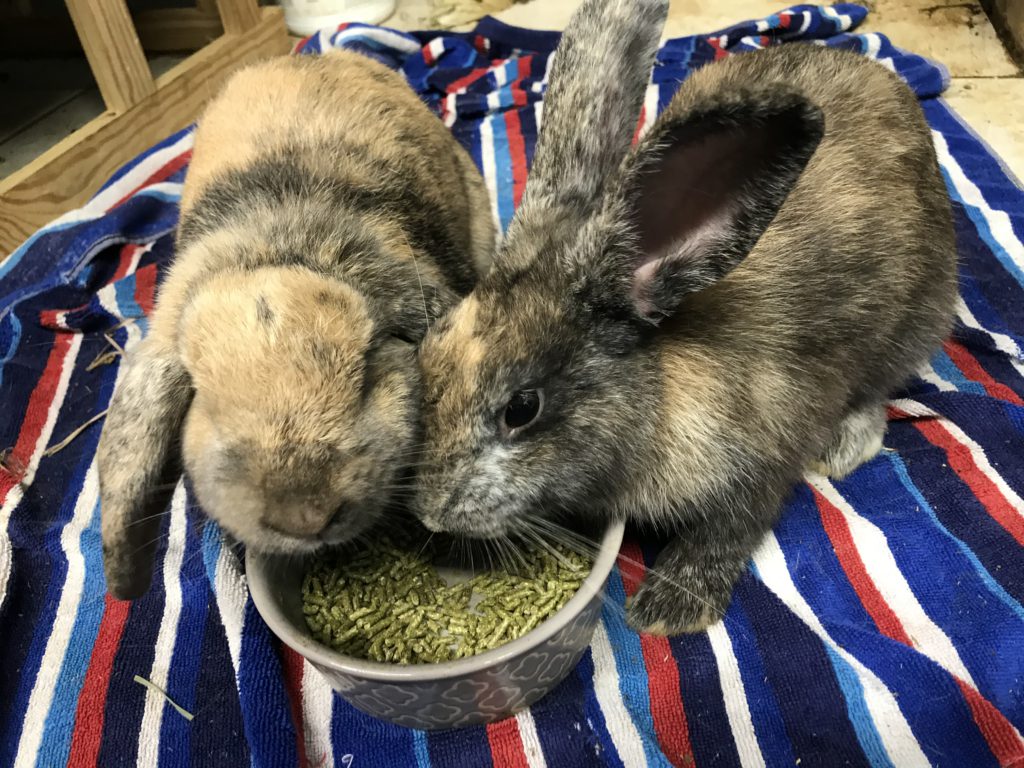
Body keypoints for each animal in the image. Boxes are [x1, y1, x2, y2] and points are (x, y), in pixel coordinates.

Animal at [412, 0, 958, 634]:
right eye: (429, 350)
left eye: (523, 408)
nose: (430, 511)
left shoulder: (764, 456)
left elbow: (728, 530)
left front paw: (668, 611)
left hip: (917, 319)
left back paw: (843, 447)